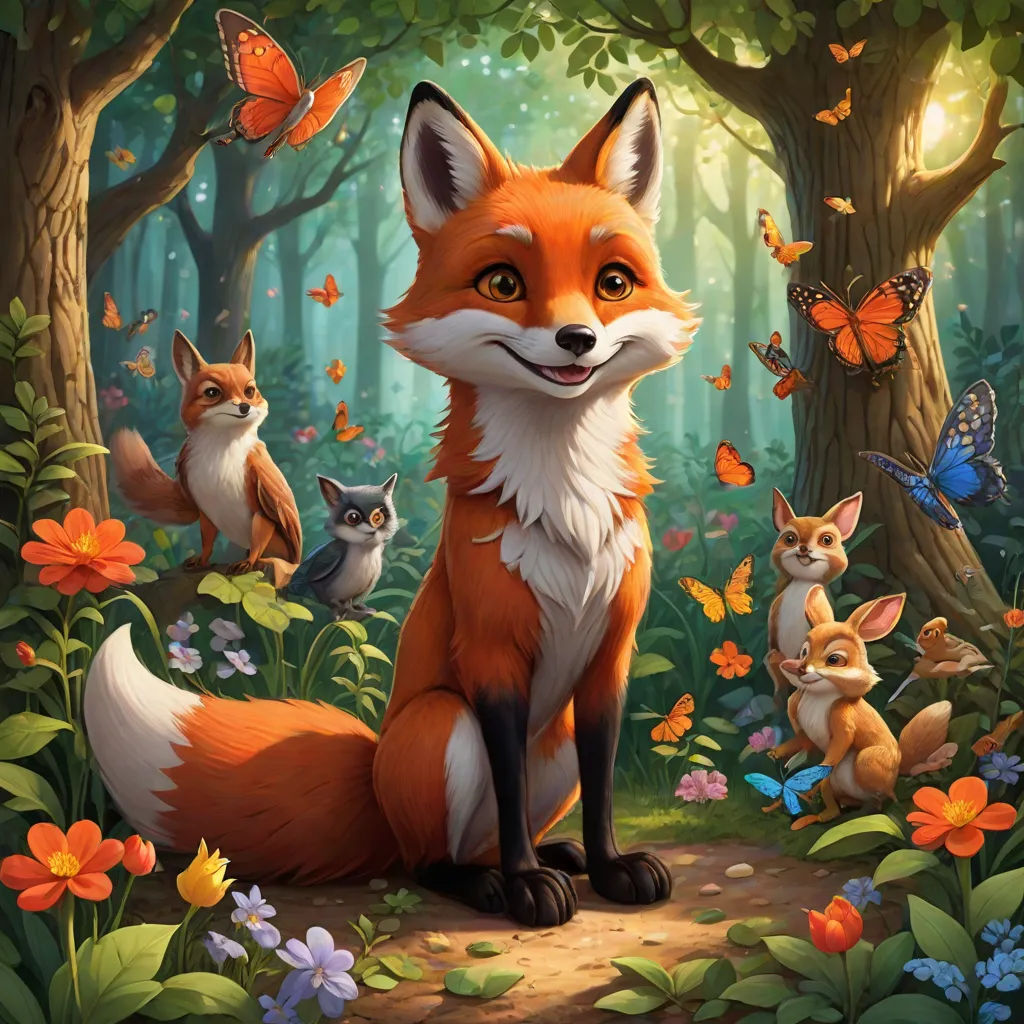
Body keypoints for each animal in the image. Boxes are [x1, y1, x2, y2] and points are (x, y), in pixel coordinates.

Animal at [108, 331, 301, 588]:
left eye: (249, 391)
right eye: (212, 392)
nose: (244, 406)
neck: (221, 449)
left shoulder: (264, 510)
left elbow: (257, 543)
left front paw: (249, 563)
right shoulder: (205, 512)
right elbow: (207, 541)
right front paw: (202, 561)